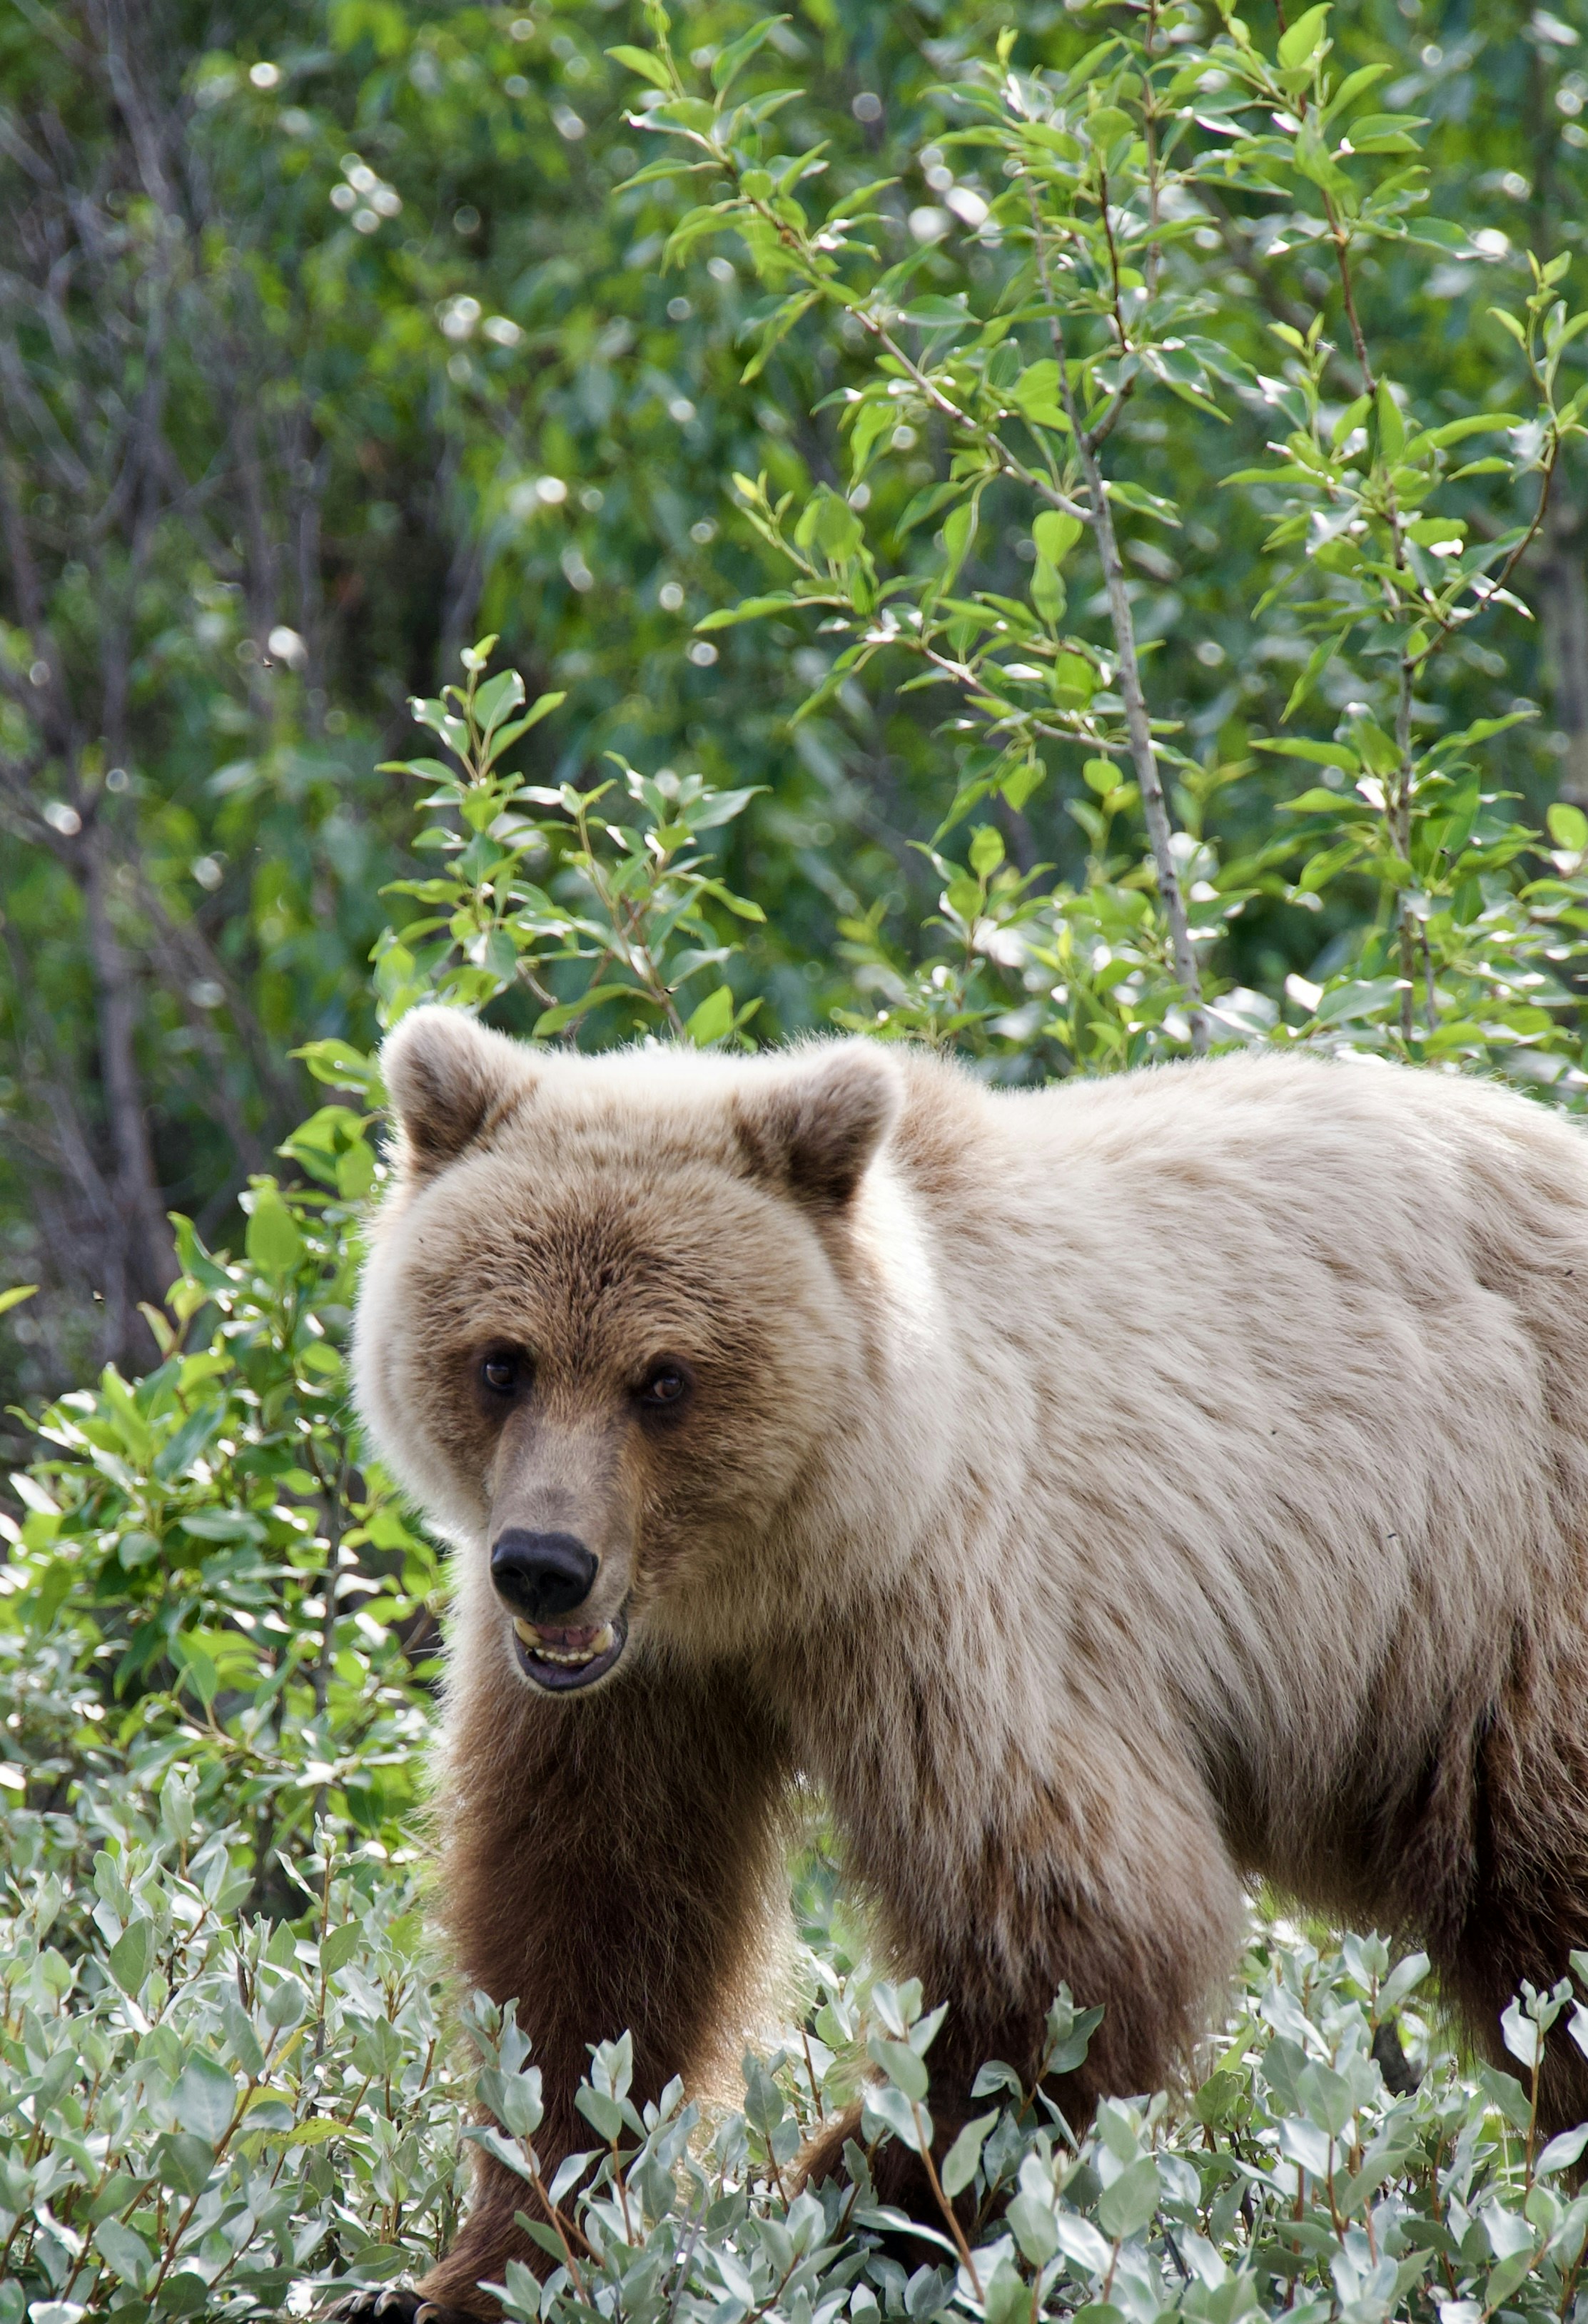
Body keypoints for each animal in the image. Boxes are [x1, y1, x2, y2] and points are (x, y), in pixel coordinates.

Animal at [344, 1006, 1588, 2321]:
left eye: (664, 1377)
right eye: (503, 1359)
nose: (544, 1565)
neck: (766, 1580)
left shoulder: (959, 1608)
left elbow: (1062, 1943)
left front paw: (834, 2214)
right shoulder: (633, 1692)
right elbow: (588, 1934)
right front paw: (489, 2258)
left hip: (1499, 1594)